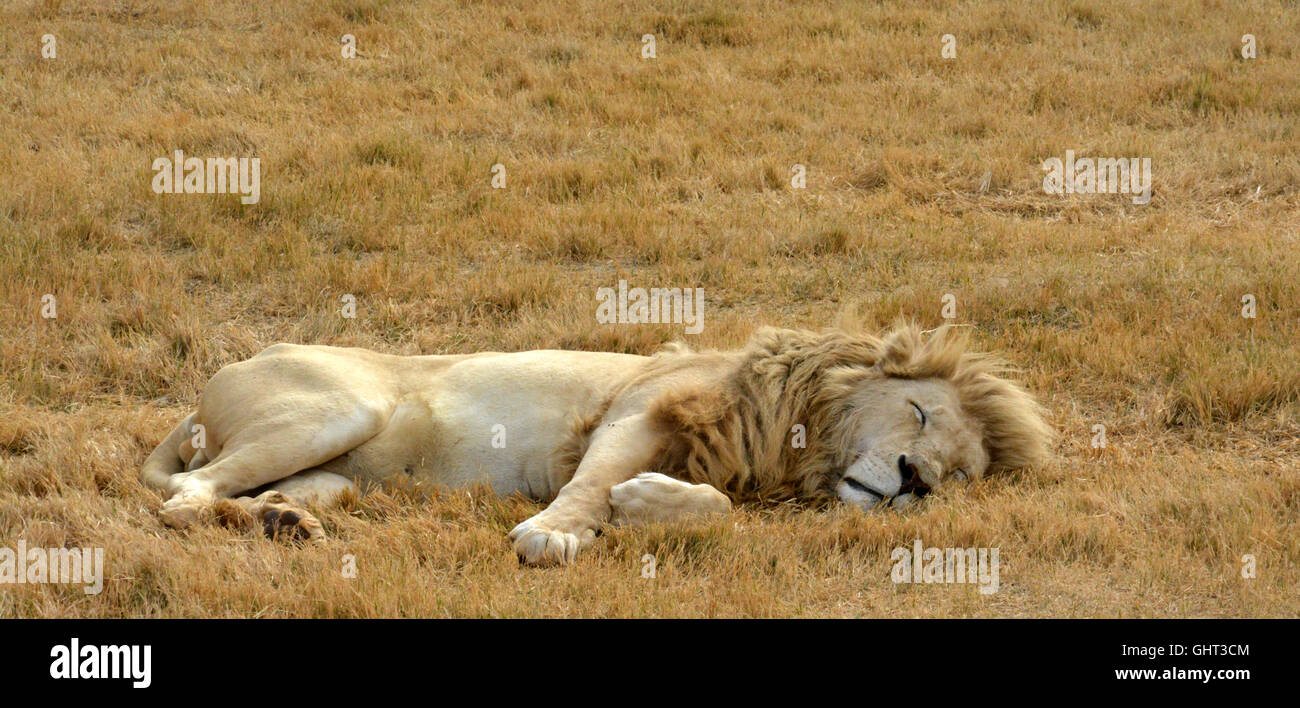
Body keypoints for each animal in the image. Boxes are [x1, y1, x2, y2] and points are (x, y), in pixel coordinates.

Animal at [140, 324, 1053, 565]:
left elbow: (718, 508)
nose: (913, 480)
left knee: (229, 496)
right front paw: (556, 534)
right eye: (920, 415)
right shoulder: (640, 406)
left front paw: (649, 504)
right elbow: (592, 483)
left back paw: (284, 523)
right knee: (182, 499)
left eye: (959, 476)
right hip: (342, 408)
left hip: (339, 474)